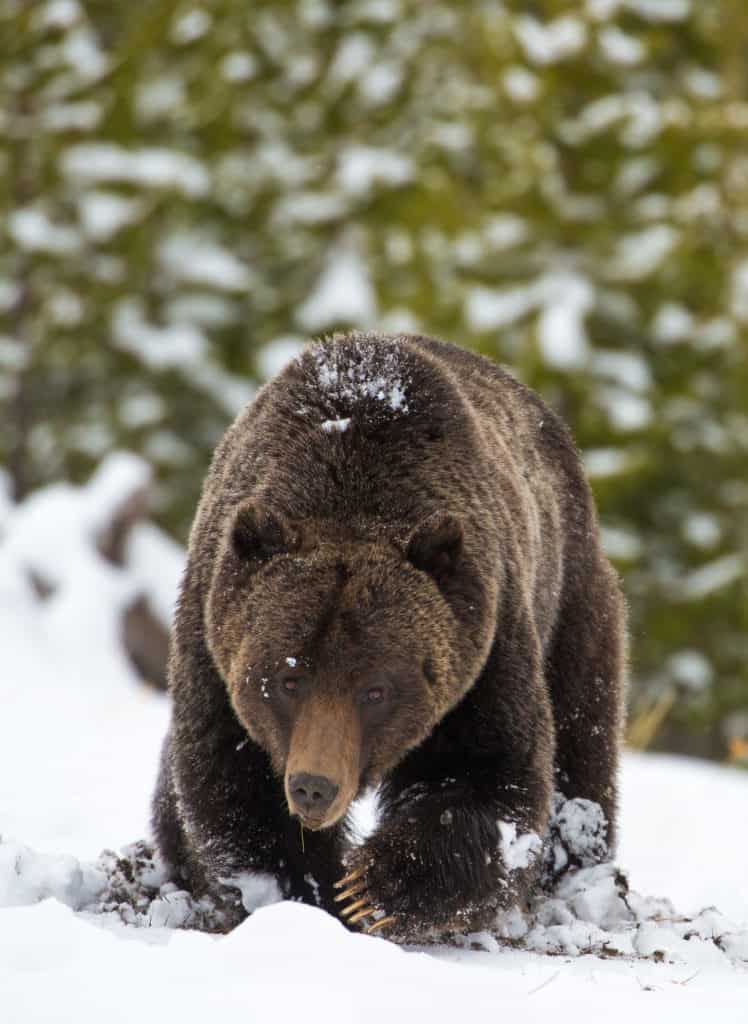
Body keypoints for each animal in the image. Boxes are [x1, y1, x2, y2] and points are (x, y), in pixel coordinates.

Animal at [151, 331, 626, 942]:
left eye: (375, 689)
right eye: (287, 678)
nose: (314, 786)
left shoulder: (484, 646)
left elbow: (492, 778)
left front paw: (372, 886)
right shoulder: (212, 640)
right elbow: (231, 781)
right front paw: (305, 895)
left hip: (570, 594)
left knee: (581, 734)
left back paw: (579, 871)